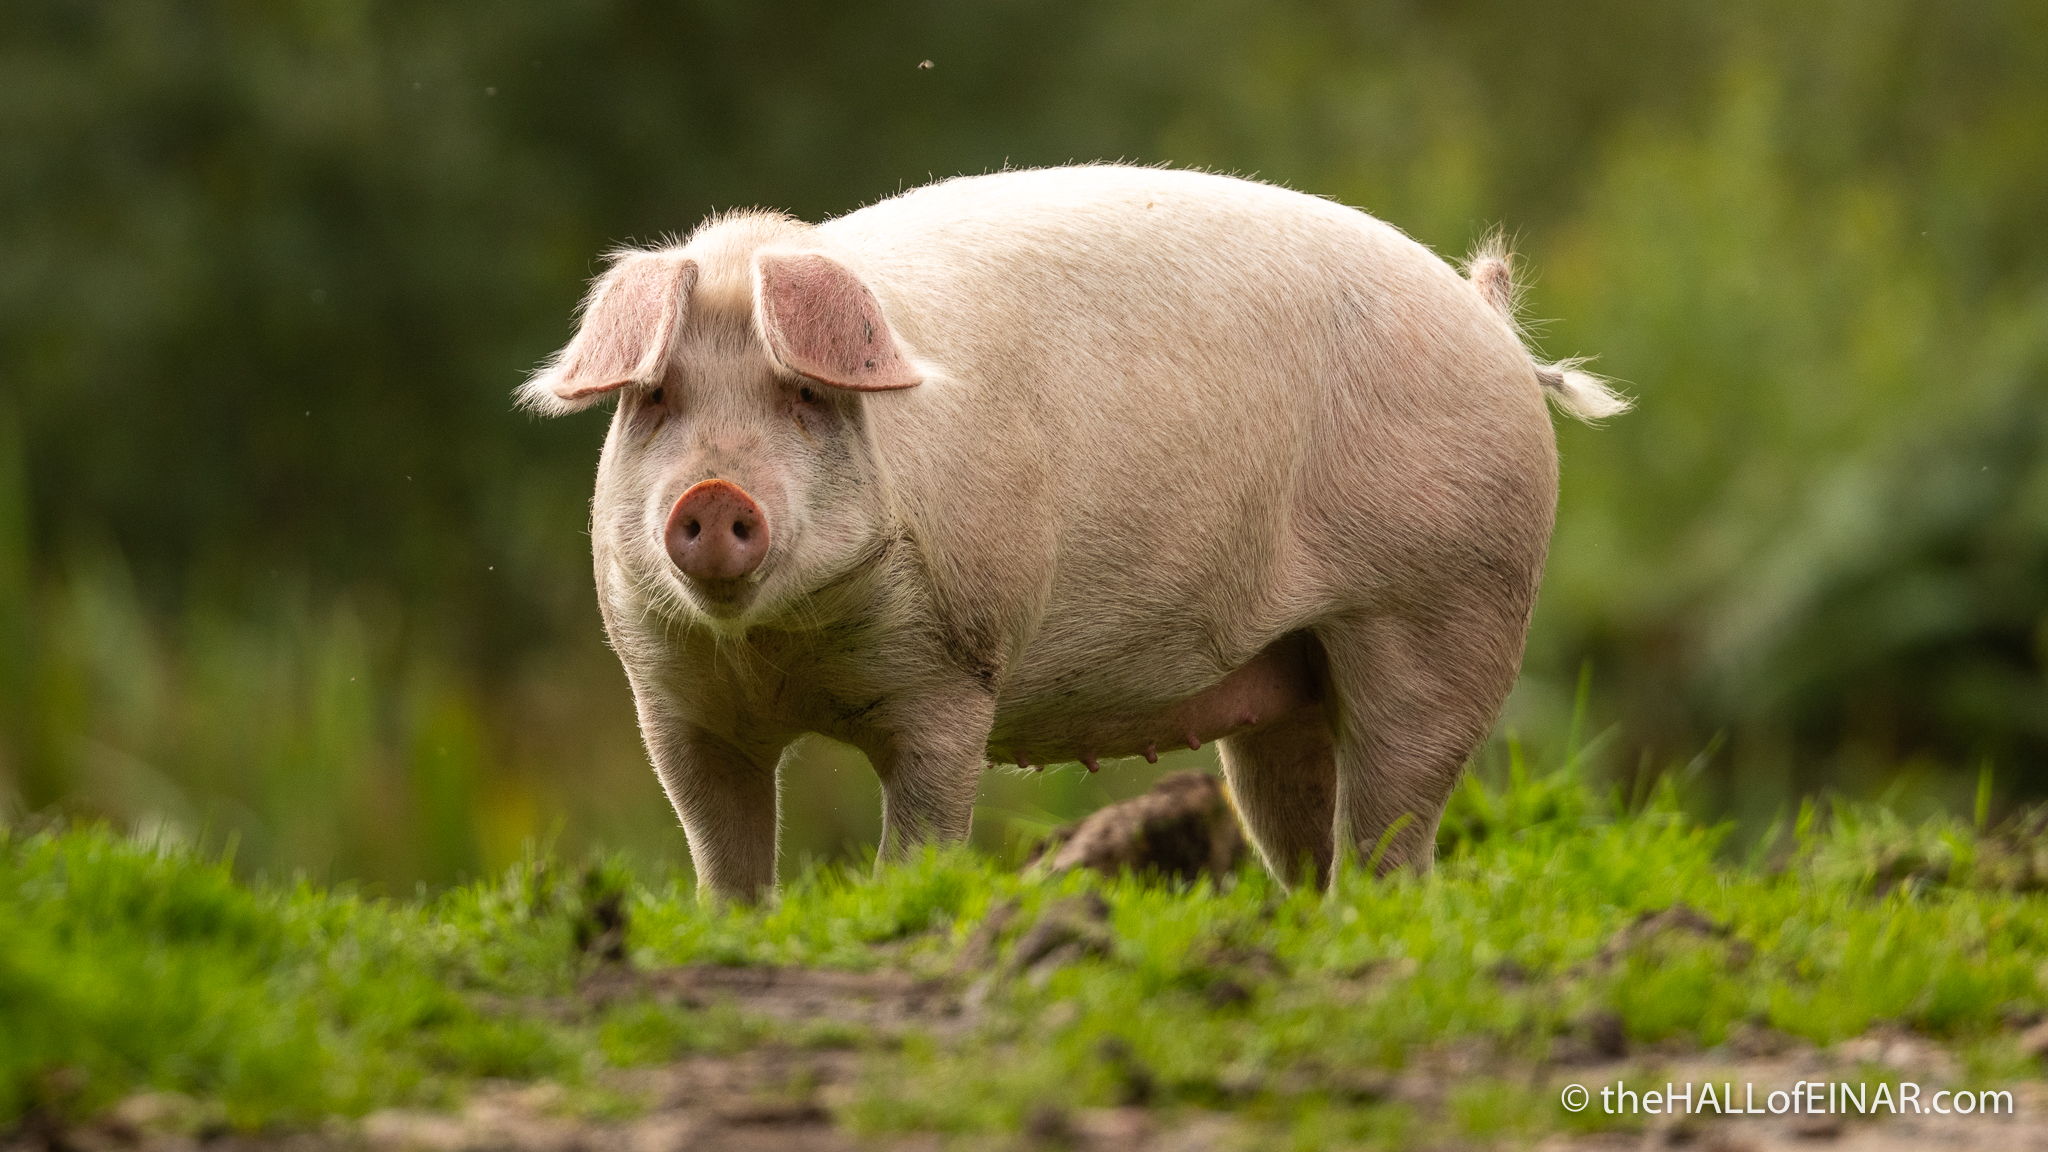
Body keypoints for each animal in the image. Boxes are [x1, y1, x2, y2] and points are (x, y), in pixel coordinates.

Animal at [520, 164, 1626, 902]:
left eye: (800, 396)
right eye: (657, 399)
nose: (711, 494)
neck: (782, 656)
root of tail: (1490, 325)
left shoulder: (952, 669)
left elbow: (923, 822)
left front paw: (906, 905)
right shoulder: (670, 693)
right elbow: (720, 845)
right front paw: (737, 926)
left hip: (1447, 603)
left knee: (1398, 813)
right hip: (1299, 669)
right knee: (1301, 816)